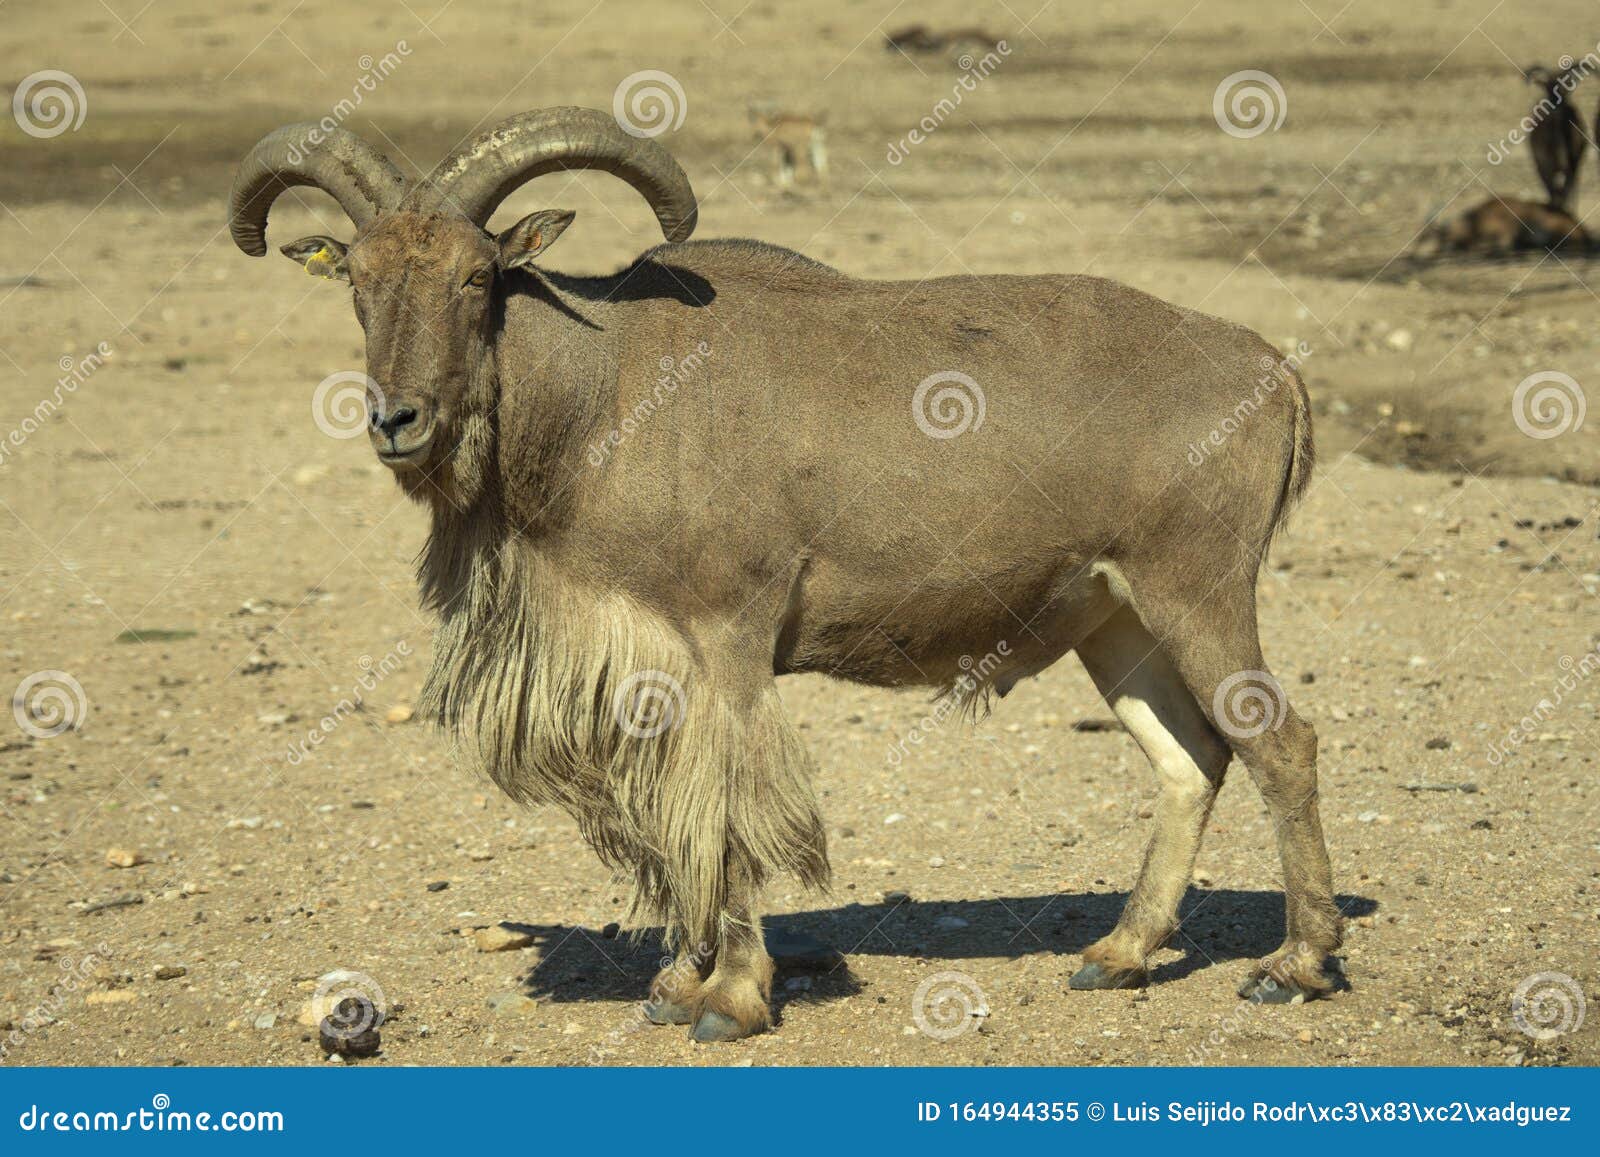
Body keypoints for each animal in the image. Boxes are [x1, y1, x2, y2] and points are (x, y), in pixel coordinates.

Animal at [230, 106, 1341, 1042]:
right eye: (357, 278)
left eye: (474, 275)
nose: (397, 420)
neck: (603, 398)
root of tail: (1275, 369)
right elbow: (673, 811)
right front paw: (677, 981)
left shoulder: (727, 632)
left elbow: (726, 807)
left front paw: (730, 998)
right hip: (1113, 618)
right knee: (1188, 759)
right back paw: (1120, 951)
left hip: (1197, 587)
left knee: (1278, 744)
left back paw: (1296, 963)